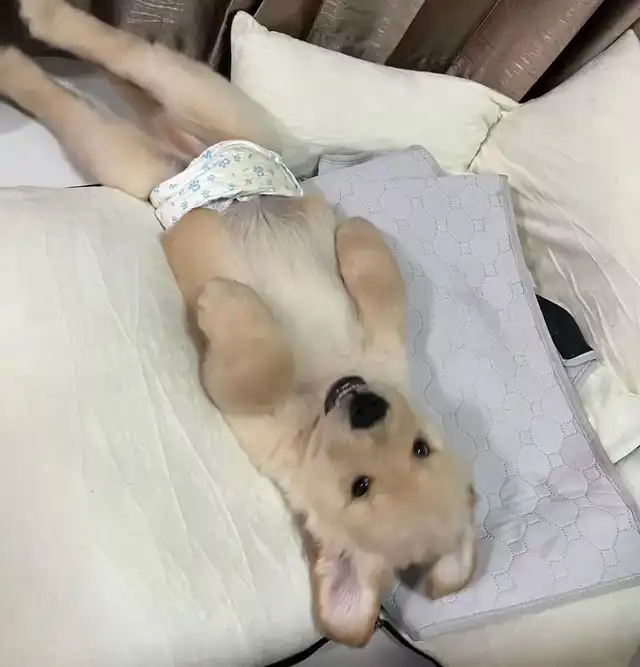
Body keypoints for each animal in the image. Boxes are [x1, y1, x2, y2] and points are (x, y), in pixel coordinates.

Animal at [0, 0, 476, 647]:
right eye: (421, 447)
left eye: (361, 488)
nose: (366, 406)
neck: (322, 395)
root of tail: (189, 163)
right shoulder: (386, 346)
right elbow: (379, 278)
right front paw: (354, 233)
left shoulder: (242, 404)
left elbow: (258, 364)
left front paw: (223, 300)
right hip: (227, 115)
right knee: (135, 70)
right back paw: (43, 26)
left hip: (139, 154)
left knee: (103, 94)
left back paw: (17, 55)